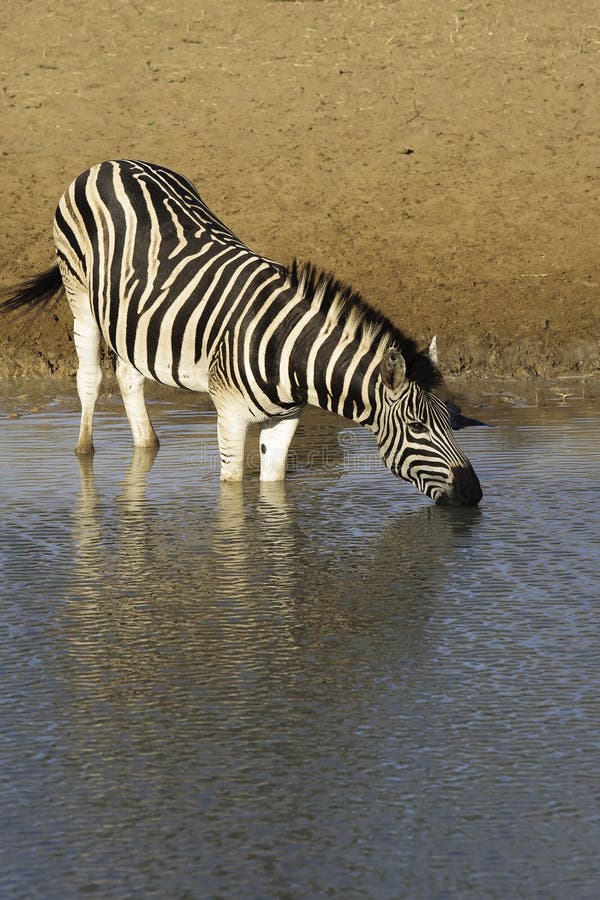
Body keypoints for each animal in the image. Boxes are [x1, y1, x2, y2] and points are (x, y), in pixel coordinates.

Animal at [1, 159, 482, 506]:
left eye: (451, 420)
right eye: (418, 427)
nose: (474, 494)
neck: (291, 354)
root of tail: (110, 162)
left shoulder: (287, 419)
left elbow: (274, 485)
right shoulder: (229, 414)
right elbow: (231, 488)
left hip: (132, 317)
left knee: (128, 375)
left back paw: (147, 445)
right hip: (79, 291)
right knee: (89, 376)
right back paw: (85, 451)